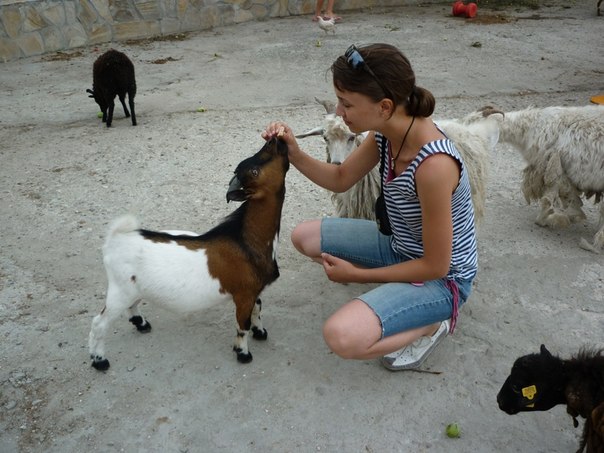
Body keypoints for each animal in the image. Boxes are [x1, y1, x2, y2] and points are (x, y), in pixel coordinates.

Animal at [88, 137, 289, 370]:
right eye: (255, 171)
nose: (276, 139)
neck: (245, 241)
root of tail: (116, 238)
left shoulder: (254, 291)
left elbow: (257, 309)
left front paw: (260, 332)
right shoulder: (244, 294)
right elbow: (242, 325)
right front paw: (243, 353)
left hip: (133, 287)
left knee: (132, 305)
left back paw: (141, 324)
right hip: (119, 290)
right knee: (99, 323)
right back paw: (99, 360)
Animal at [468, 105, 604, 253]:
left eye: (474, 122)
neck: (531, 127)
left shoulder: (551, 167)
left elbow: (549, 197)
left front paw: (544, 219)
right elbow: (568, 197)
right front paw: (571, 216)